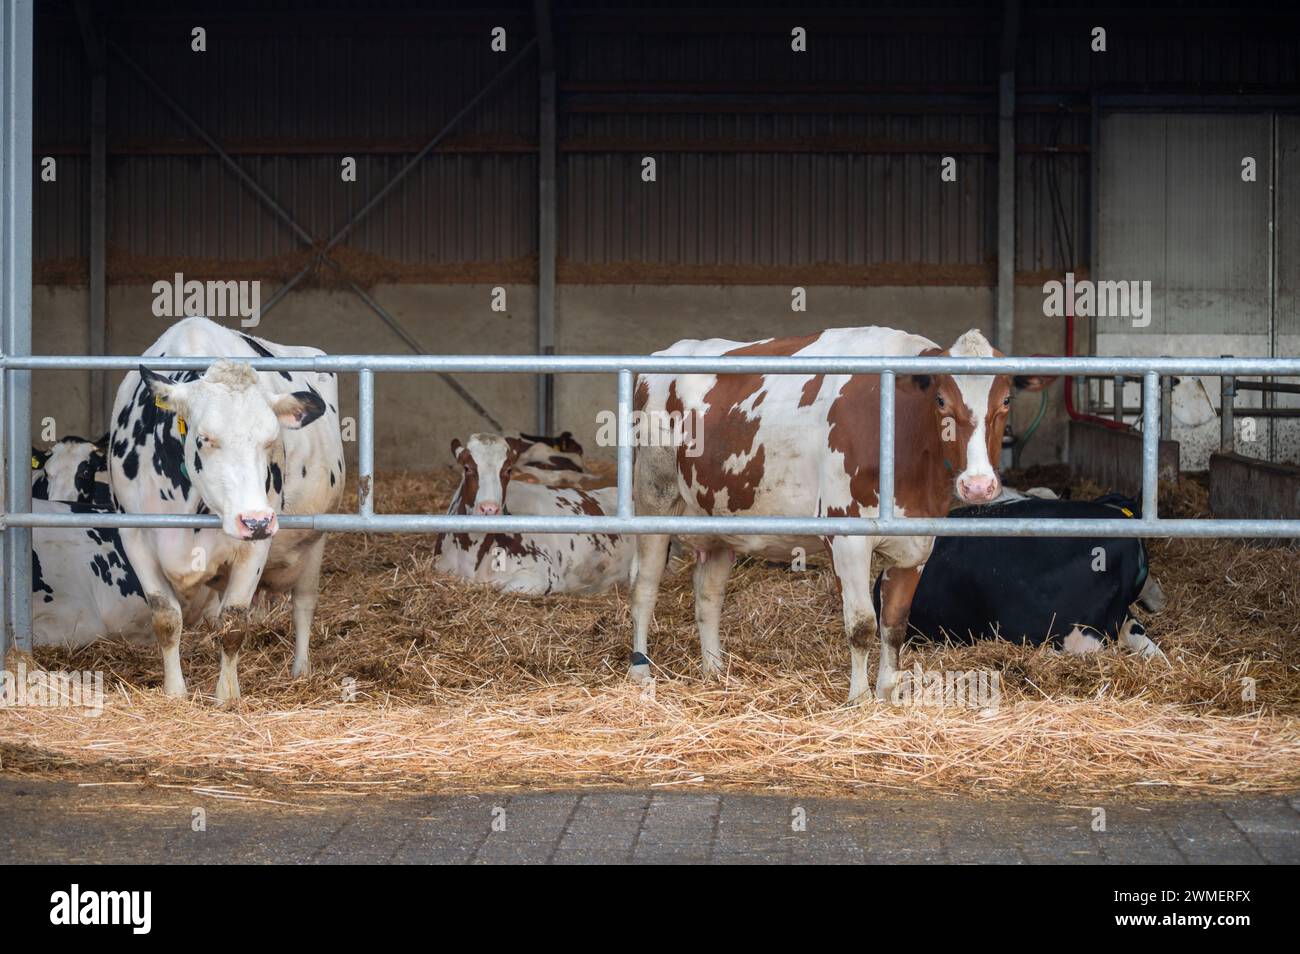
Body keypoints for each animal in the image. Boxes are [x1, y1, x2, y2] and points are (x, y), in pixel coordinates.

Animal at [108, 316, 344, 703]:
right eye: (203, 439)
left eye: (271, 441)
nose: (255, 520)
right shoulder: (134, 534)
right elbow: (166, 618)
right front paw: (175, 692)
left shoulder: (257, 544)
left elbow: (233, 622)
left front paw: (226, 698)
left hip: (315, 541)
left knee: (303, 604)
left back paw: (300, 671)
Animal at [629, 326, 1051, 703]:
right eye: (942, 400)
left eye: (1006, 401)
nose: (978, 485)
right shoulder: (848, 537)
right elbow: (862, 624)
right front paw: (859, 700)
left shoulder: (918, 543)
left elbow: (894, 625)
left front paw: (887, 695)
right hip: (653, 499)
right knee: (644, 590)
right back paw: (640, 671)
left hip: (718, 516)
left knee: (708, 596)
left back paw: (714, 671)